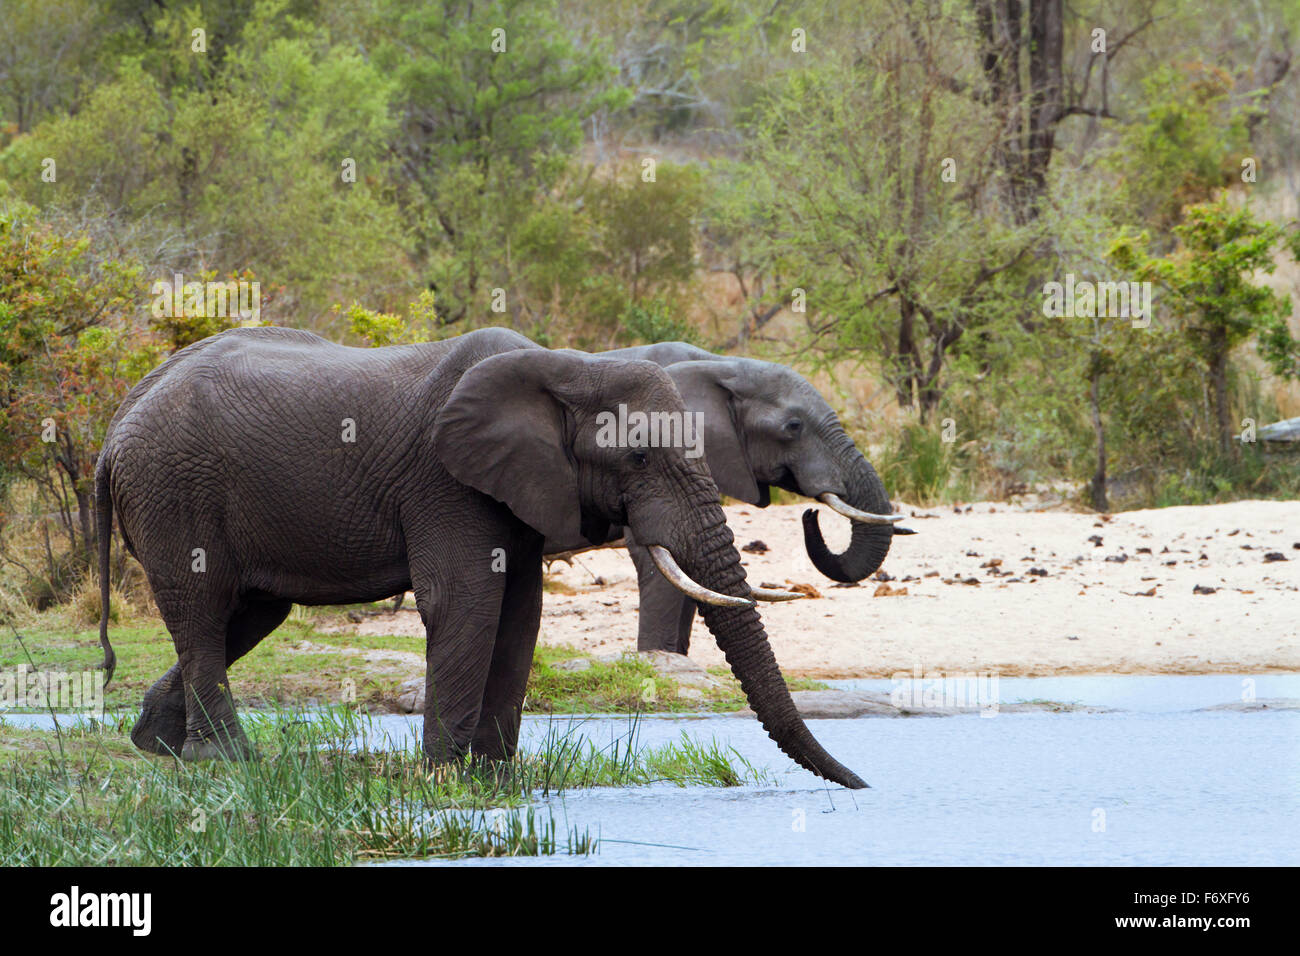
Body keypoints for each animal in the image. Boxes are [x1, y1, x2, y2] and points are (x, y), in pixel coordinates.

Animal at [96, 325, 868, 788]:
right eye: (640, 456)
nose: (863, 787)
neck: (569, 368)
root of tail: (114, 426)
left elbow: (520, 611)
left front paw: (493, 776)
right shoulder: (445, 481)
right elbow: (465, 601)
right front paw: (445, 776)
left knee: (248, 614)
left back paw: (156, 744)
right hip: (173, 490)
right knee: (202, 610)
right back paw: (226, 760)